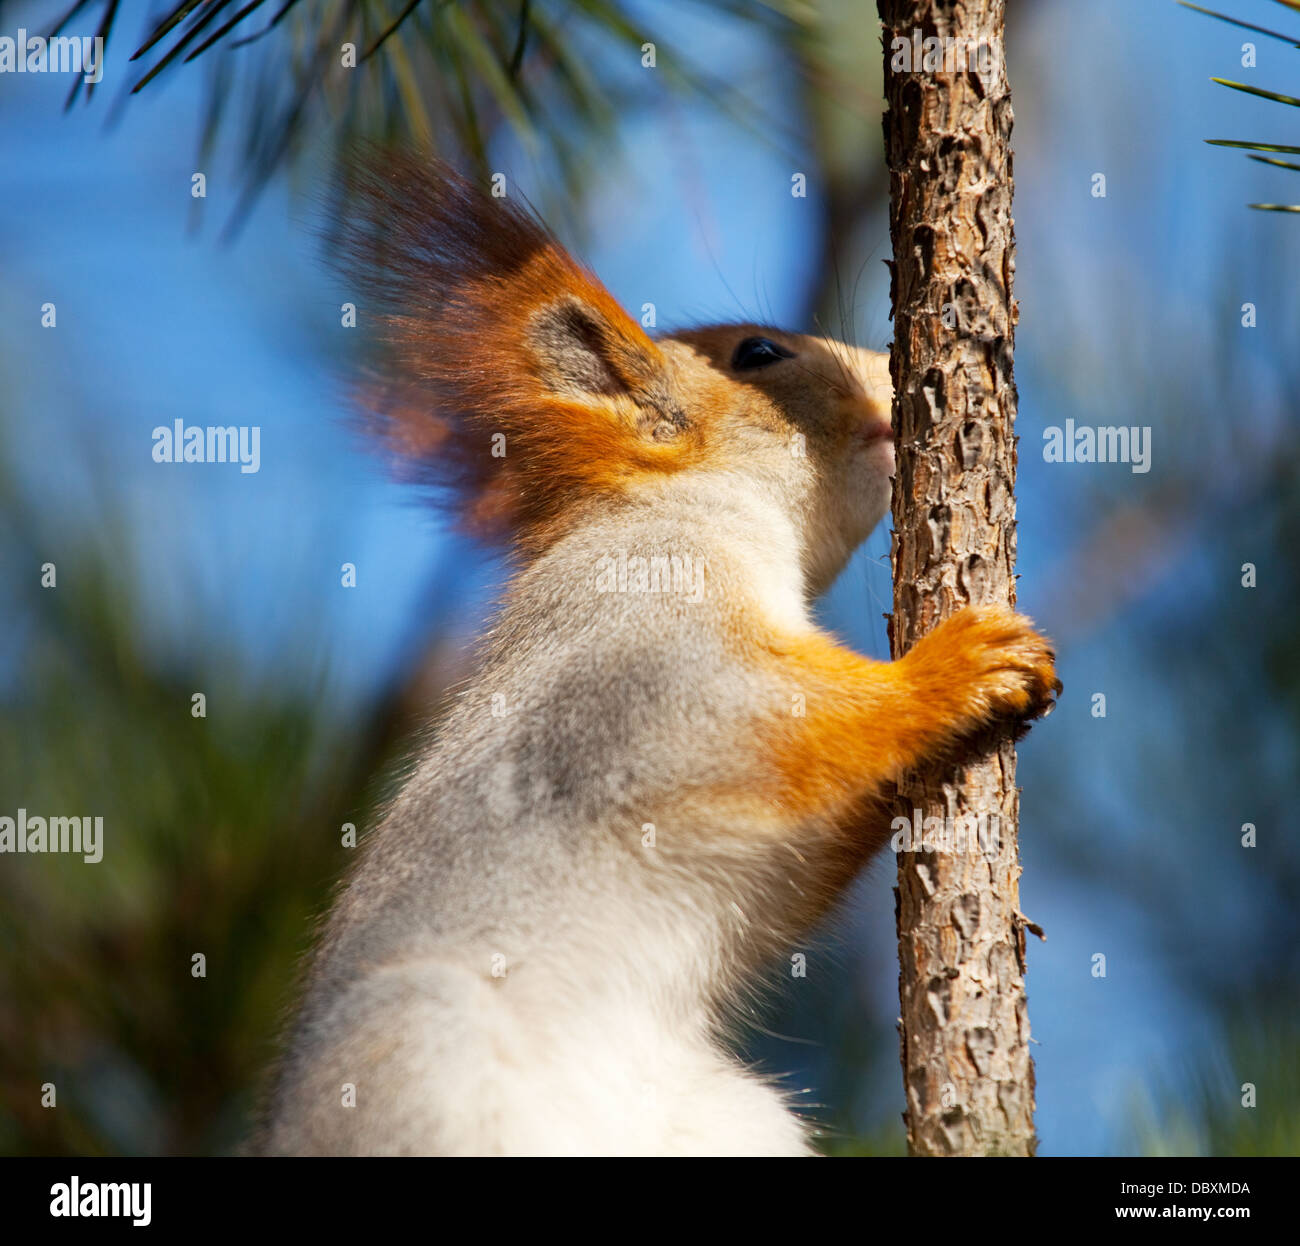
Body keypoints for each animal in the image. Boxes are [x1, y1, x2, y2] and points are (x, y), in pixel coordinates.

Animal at [256, 152, 1059, 1157]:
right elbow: (751, 722)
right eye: (758, 353)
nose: (890, 371)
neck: (683, 509)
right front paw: (950, 672)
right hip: (418, 1046)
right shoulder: (642, 659)